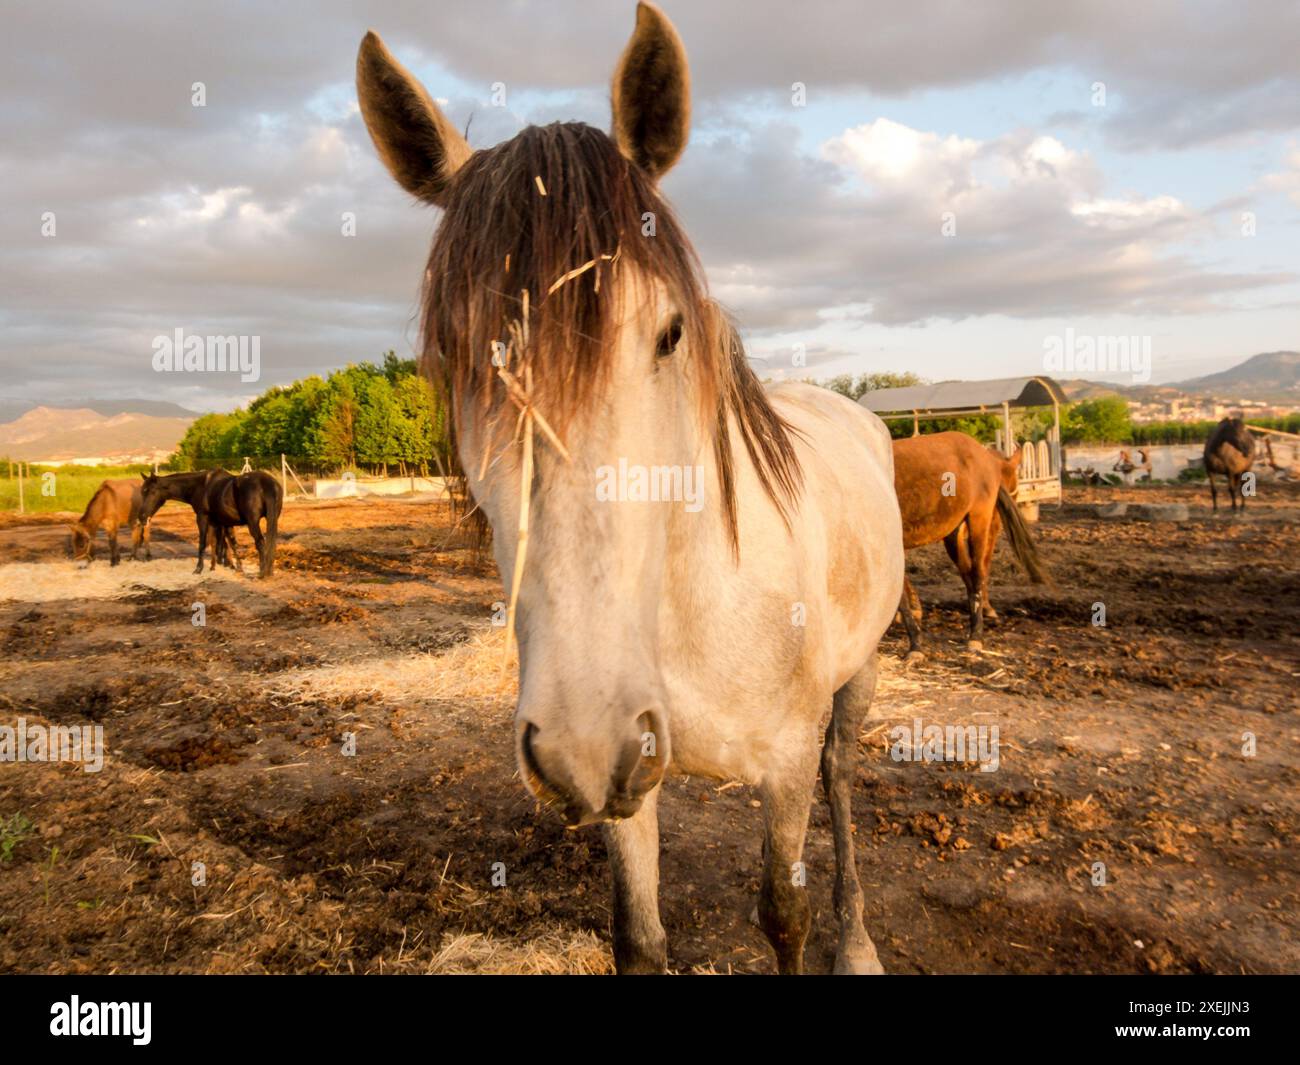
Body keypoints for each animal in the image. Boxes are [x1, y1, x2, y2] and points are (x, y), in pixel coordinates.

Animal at [139, 470, 283, 577]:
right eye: (142, 491)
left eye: (152, 492)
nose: (142, 517)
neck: (200, 485)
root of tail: (268, 483)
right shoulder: (219, 522)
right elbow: (224, 543)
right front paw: (223, 566)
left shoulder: (202, 517)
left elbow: (203, 542)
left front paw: (198, 569)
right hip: (272, 519)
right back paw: (268, 571)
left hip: (253, 522)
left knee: (260, 542)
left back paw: (263, 572)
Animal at [357, 1, 906, 975]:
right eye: (453, 356)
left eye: (670, 332)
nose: (582, 733)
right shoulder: (627, 776)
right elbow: (640, 937)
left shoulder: (786, 764)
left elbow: (784, 913)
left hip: (860, 672)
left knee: (844, 782)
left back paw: (859, 943)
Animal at [892, 432, 1049, 656]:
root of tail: (983, 455)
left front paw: (915, 642)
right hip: (956, 533)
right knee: (968, 572)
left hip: (980, 521)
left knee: (977, 572)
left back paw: (976, 634)